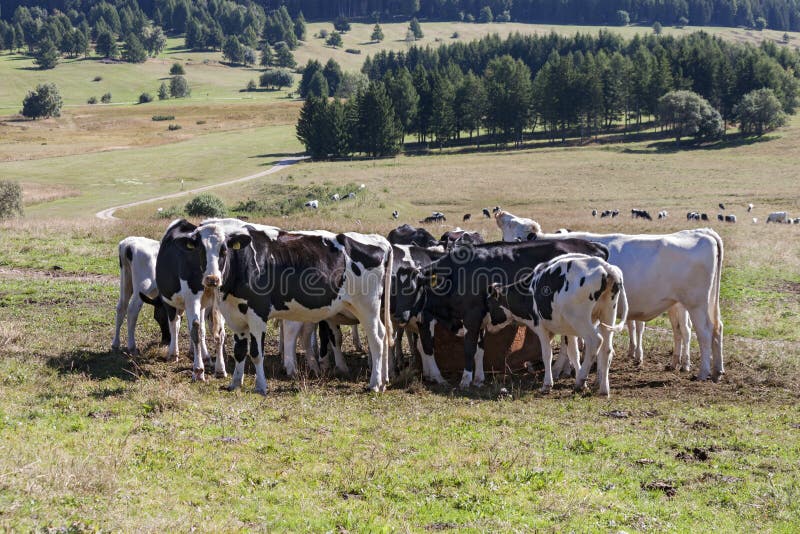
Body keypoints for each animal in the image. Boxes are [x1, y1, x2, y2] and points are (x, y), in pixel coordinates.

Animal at [182, 222, 394, 393]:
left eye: (224, 250)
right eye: (200, 250)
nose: (212, 279)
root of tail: (378, 240)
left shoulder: (257, 314)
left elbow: (256, 354)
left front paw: (261, 386)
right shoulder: (236, 317)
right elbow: (240, 351)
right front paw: (235, 383)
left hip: (367, 307)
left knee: (376, 339)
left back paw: (375, 384)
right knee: (383, 335)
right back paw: (383, 381)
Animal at [393, 239, 610, 389]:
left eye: (412, 288)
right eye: (393, 289)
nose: (398, 316)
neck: (457, 274)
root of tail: (592, 245)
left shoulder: (471, 316)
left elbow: (467, 348)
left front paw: (465, 380)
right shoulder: (479, 319)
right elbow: (480, 350)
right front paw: (478, 379)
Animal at [485, 254, 628, 396]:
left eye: (490, 306)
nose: (487, 327)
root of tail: (606, 267)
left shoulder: (541, 327)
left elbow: (547, 354)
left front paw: (547, 384)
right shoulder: (569, 330)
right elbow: (573, 354)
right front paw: (583, 382)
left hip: (580, 320)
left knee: (596, 341)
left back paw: (580, 380)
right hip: (608, 315)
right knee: (607, 349)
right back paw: (603, 389)